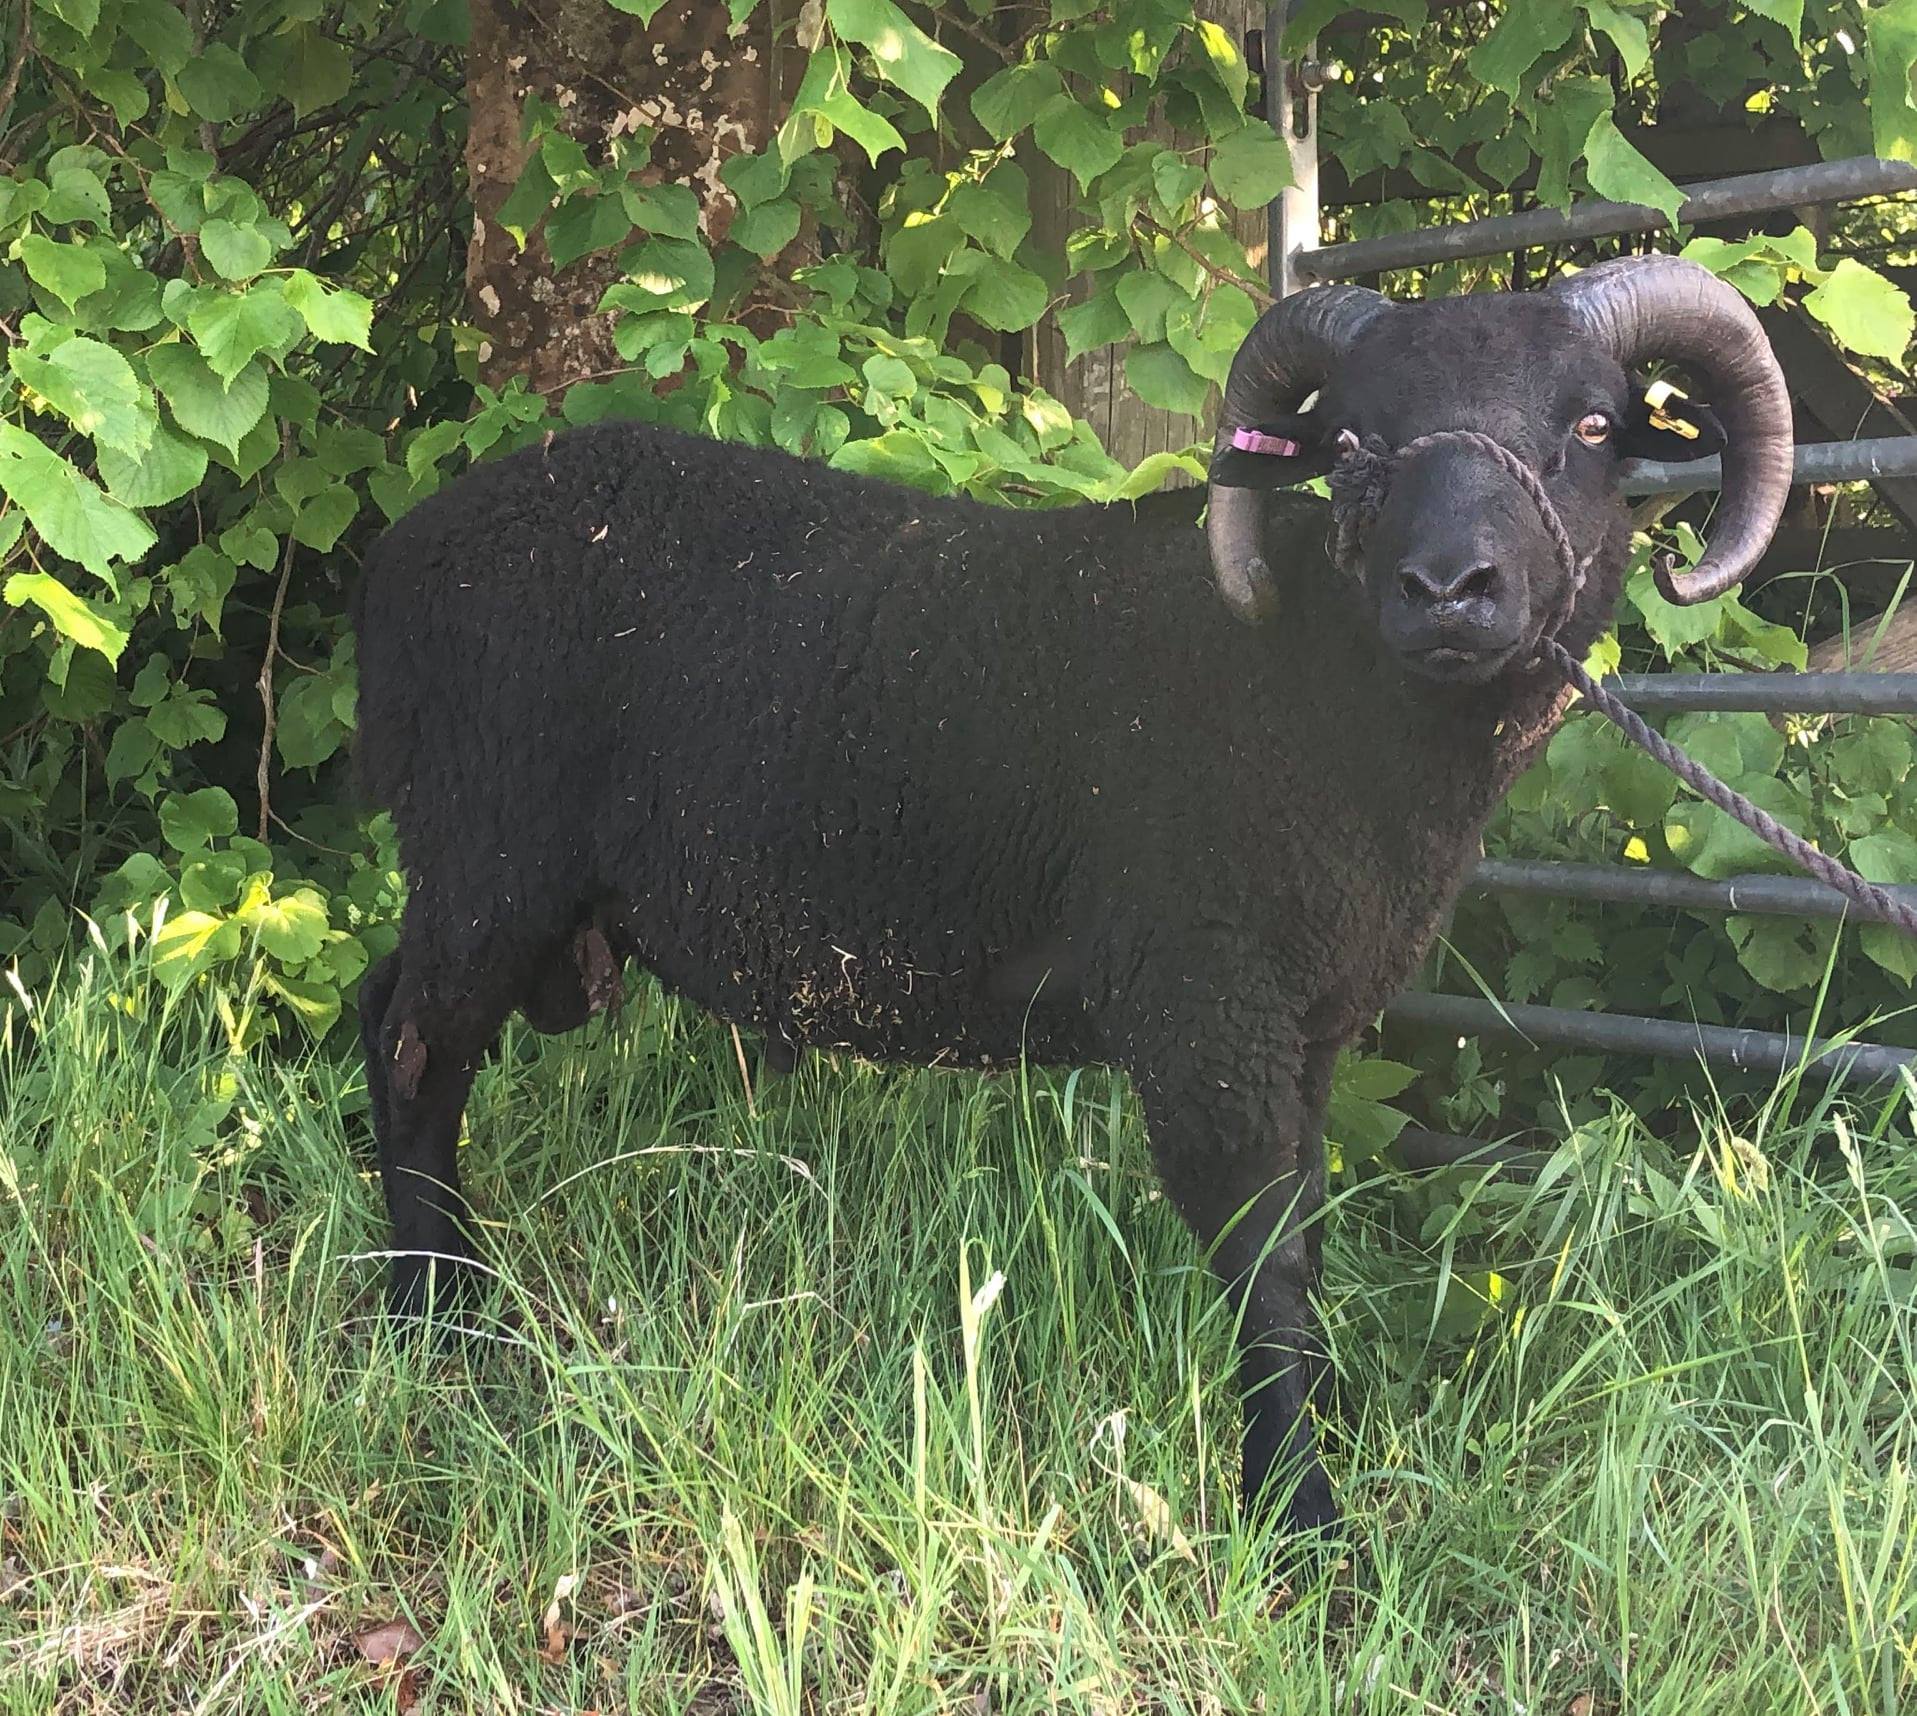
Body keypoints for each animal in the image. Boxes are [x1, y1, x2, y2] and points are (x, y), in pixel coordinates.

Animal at [351, 255, 1792, 1536]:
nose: (1449, 590)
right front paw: (1299, 1518)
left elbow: (1306, 1225)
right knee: (415, 1051)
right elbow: (1259, 1248)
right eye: (1354, 445)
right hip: (490, 849)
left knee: (388, 1009)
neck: (1316, 686)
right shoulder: (1205, 992)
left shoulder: (1308, 1020)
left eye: (1592, 425)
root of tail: (401, 559)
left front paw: (1321, 1437)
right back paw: (443, 1326)